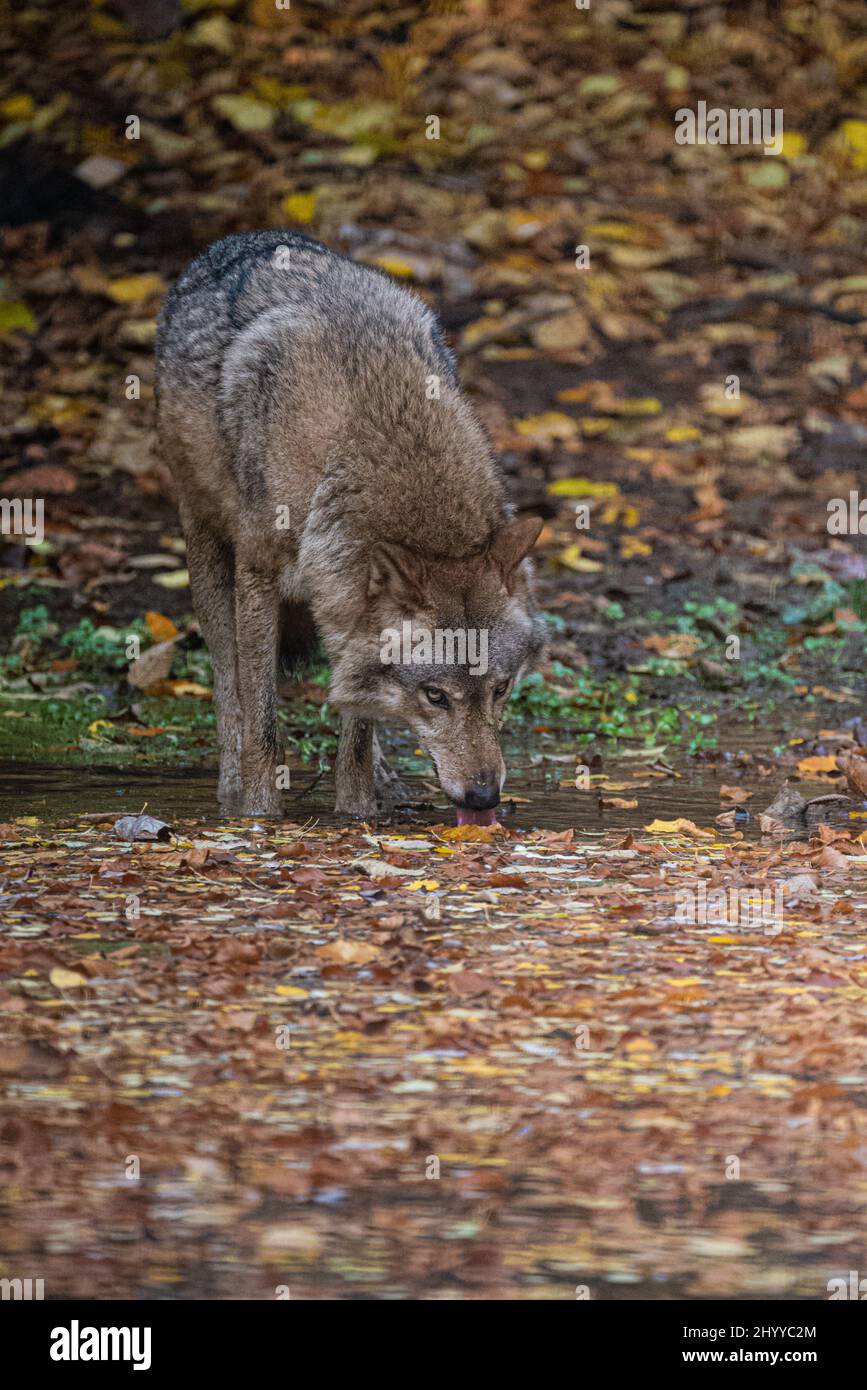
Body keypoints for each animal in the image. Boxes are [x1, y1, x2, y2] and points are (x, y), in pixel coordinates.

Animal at [156, 231, 545, 822]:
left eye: (500, 690)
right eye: (436, 696)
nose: (484, 797)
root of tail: (242, 240)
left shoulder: (348, 601)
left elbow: (358, 731)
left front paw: (359, 809)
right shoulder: (259, 574)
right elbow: (262, 723)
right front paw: (259, 815)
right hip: (207, 554)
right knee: (229, 688)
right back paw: (230, 788)